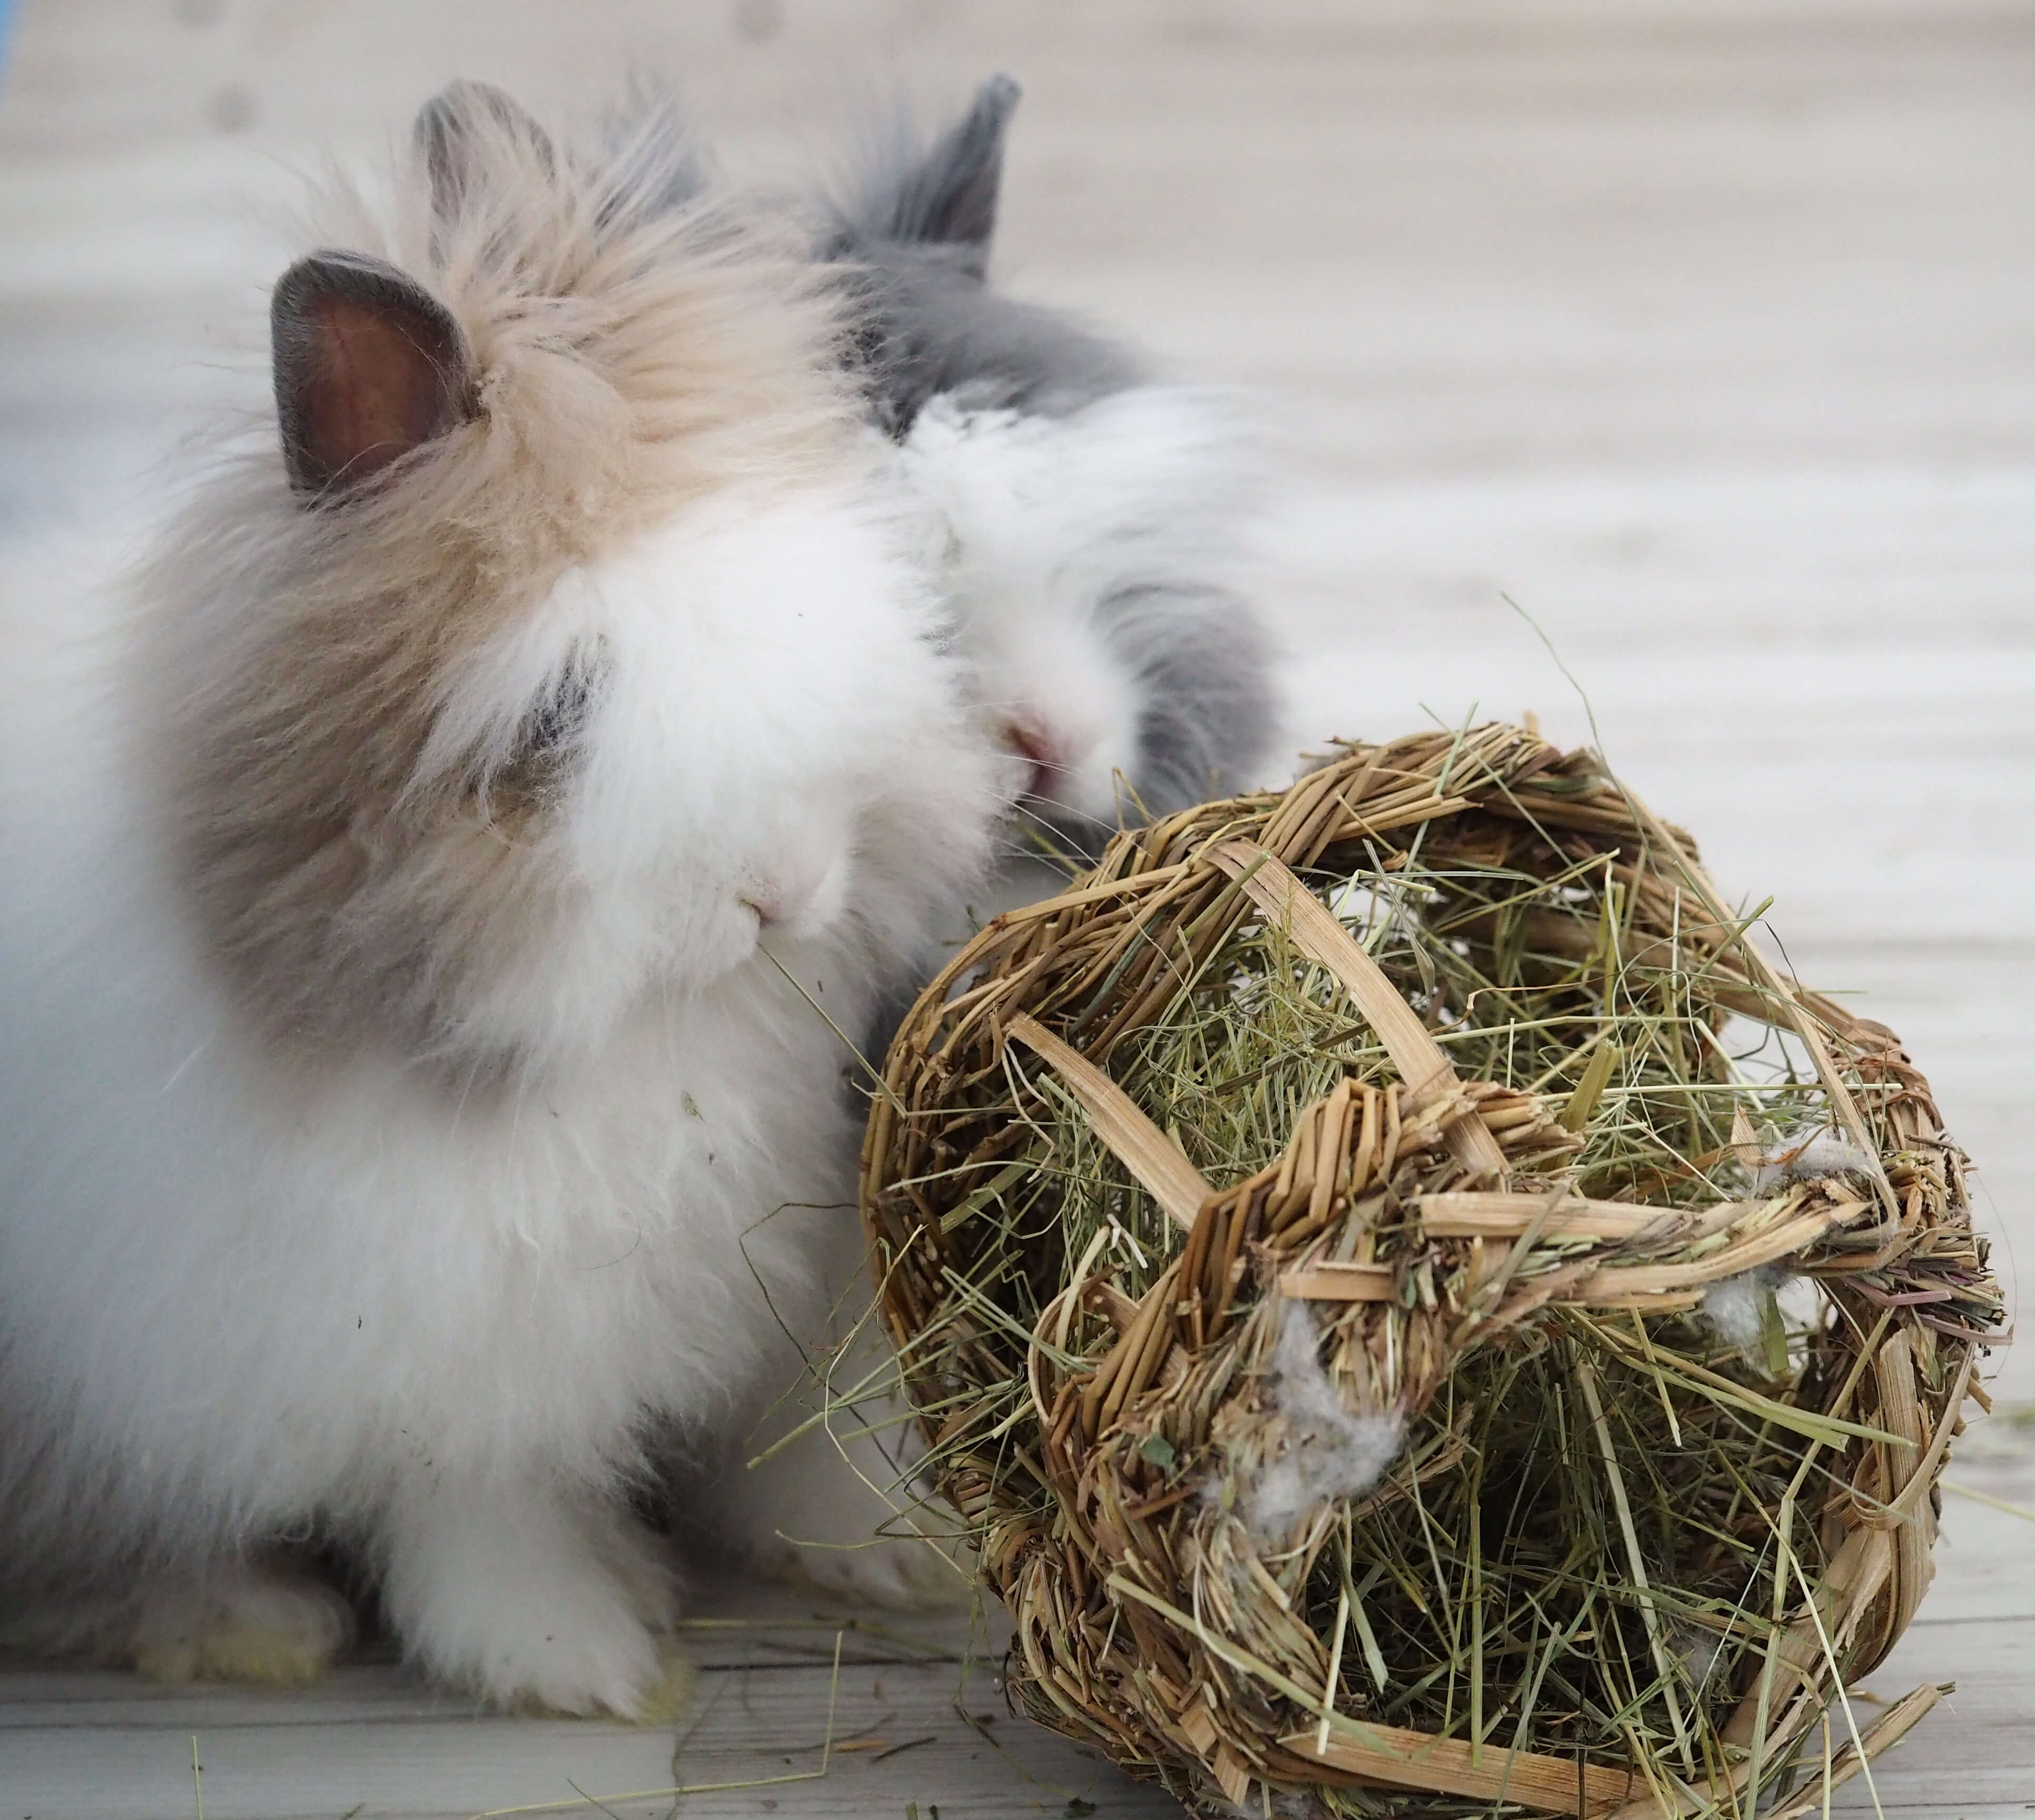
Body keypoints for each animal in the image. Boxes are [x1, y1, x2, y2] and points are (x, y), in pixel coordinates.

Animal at [0, 82, 1012, 1717]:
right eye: (556, 716)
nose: (784, 889)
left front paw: (871, 1555)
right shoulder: (422, 1345)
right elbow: (482, 1502)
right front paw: (581, 1656)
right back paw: (246, 1622)